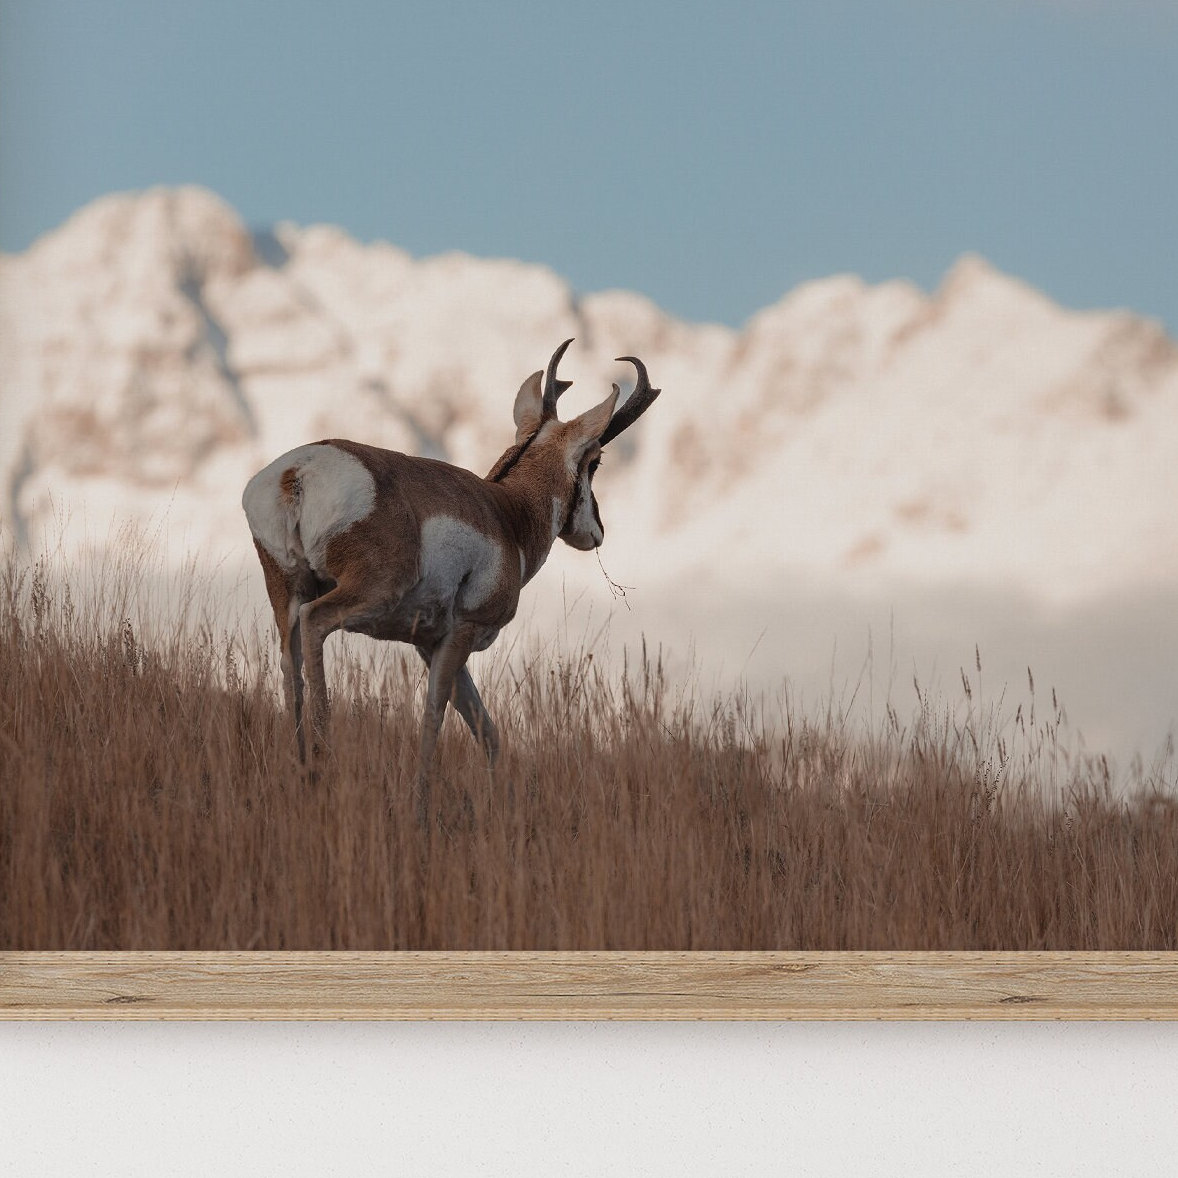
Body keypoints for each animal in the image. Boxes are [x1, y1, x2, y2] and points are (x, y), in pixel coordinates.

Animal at [242, 339, 660, 817]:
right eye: (595, 462)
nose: (597, 533)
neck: (508, 513)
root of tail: (298, 470)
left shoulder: (429, 643)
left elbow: (488, 731)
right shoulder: (461, 632)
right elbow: (434, 715)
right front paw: (420, 808)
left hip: (285, 591)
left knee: (289, 668)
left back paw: (300, 769)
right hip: (367, 593)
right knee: (316, 623)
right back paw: (321, 765)